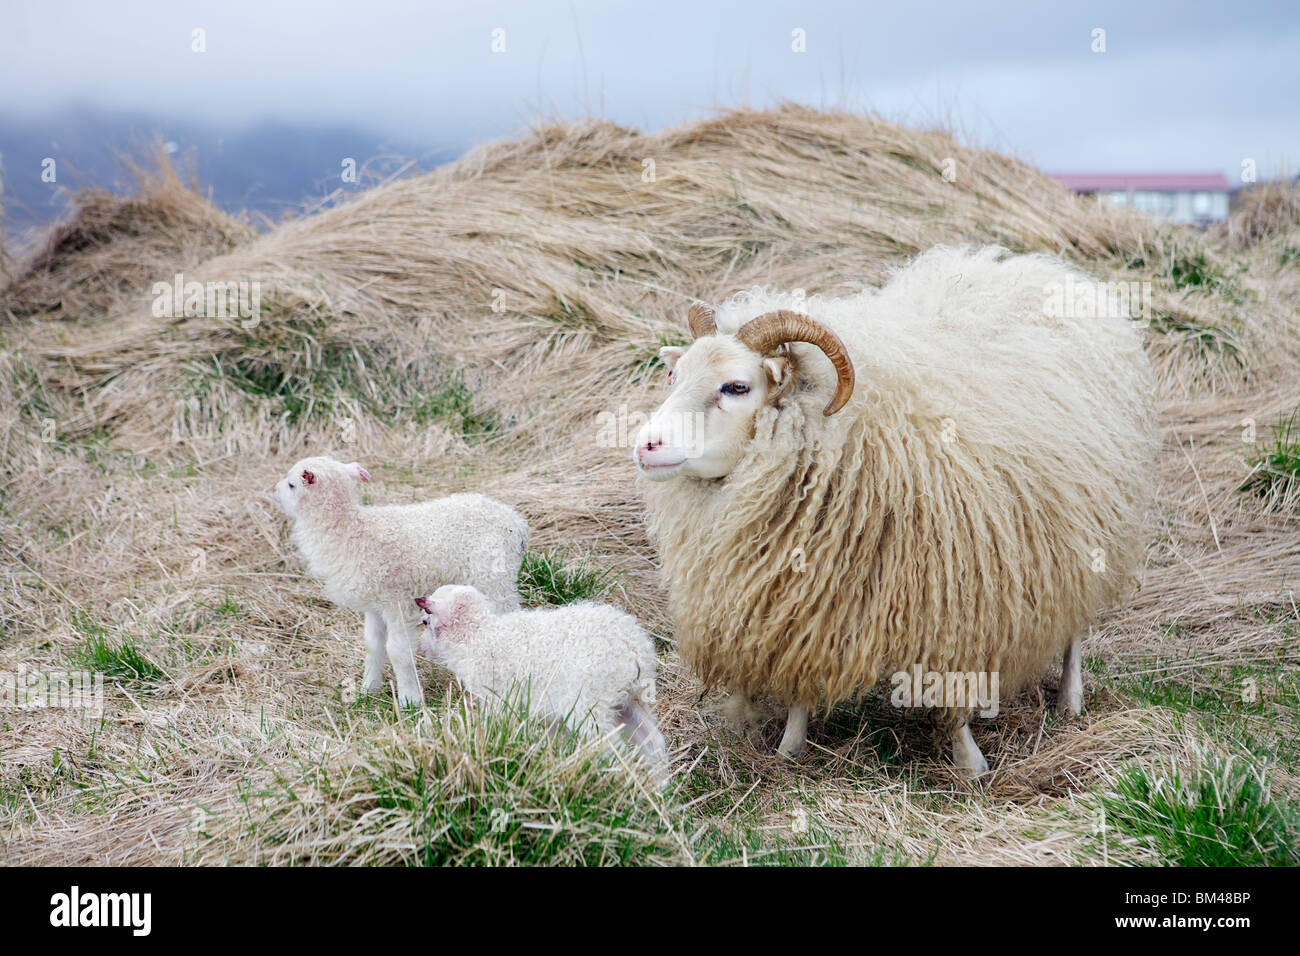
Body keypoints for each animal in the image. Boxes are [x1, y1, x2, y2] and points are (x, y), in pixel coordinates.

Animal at [272, 456, 529, 706]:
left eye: (292, 484)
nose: (274, 492)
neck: (351, 530)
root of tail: (516, 523)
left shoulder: (397, 601)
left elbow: (398, 651)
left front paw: (410, 698)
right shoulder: (375, 605)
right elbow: (373, 645)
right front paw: (368, 688)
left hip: (495, 578)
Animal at [415, 584, 668, 776]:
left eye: (426, 622)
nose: (422, 648)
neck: (478, 635)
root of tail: (635, 648)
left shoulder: (497, 698)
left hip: (591, 706)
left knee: (614, 750)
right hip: (631, 701)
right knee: (654, 743)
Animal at [633, 245, 1155, 776]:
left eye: (736, 387)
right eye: (675, 375)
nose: (645, 444)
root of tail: (1038, 267)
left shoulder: (956, 588)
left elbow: (954, 684)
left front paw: (970, 762)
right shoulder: (807, 595)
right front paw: (790, 747)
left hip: (1090, 521)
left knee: (1075, 626)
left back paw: (1071, 699)